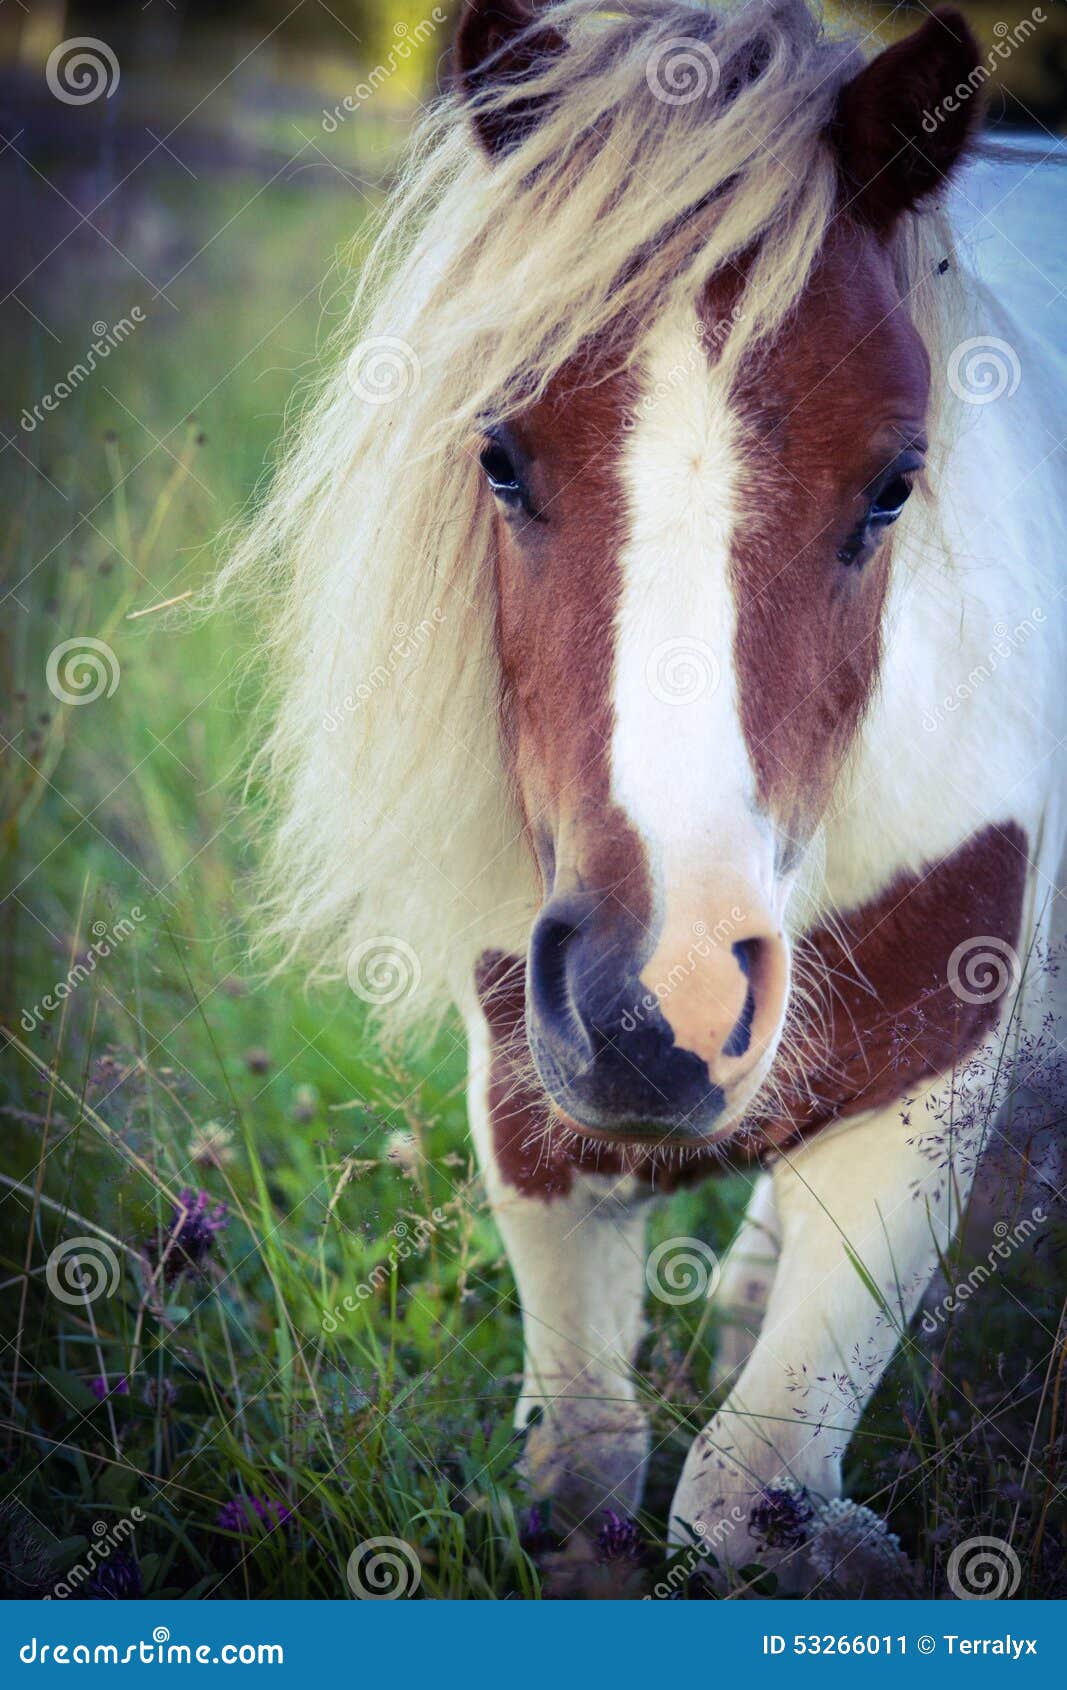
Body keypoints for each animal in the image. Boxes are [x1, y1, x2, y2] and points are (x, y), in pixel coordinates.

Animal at [224, 0, 1066, 1586]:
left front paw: (847, 1549)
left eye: (891, 486)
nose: (652, 1010)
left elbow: (746, 1489)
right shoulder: (529, 1093)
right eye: (496, 456)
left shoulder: (926, 1095)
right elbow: (582, 1468)